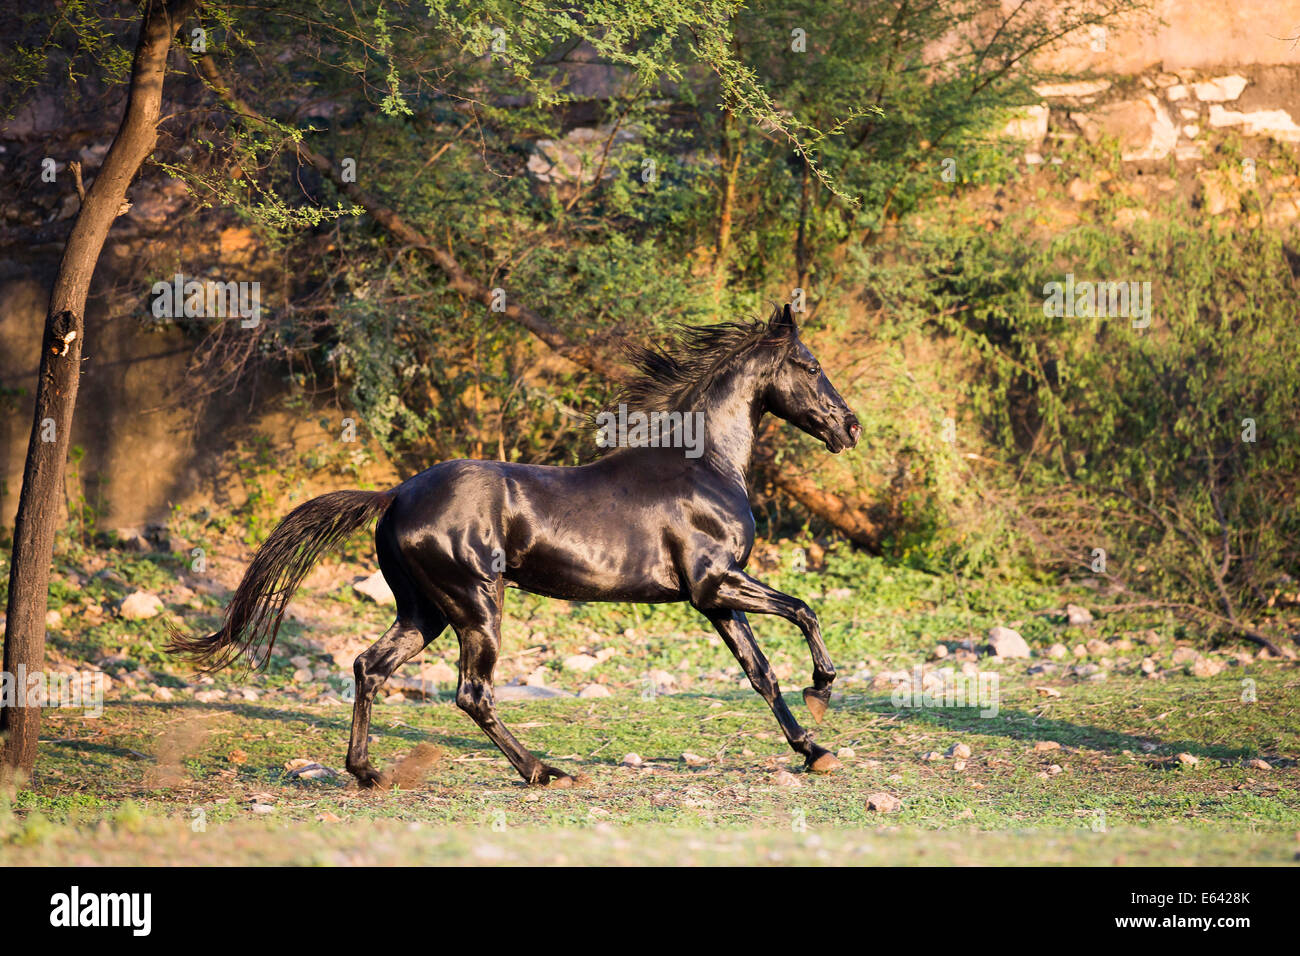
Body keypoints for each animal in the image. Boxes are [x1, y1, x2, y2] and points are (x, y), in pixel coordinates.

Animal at [170, 304, 862, 787]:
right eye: (809, 365)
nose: (850, 427)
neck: (704, 464)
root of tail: (395, 495)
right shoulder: (714, 584)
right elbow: (804, 611)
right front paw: (822, 692)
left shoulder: (717, 599)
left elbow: (761, 673)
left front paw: (815, 751)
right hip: (477, 606)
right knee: (471, 692)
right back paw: (543, 771)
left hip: (423, 613)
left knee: (370, 667)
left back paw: (368, 774)